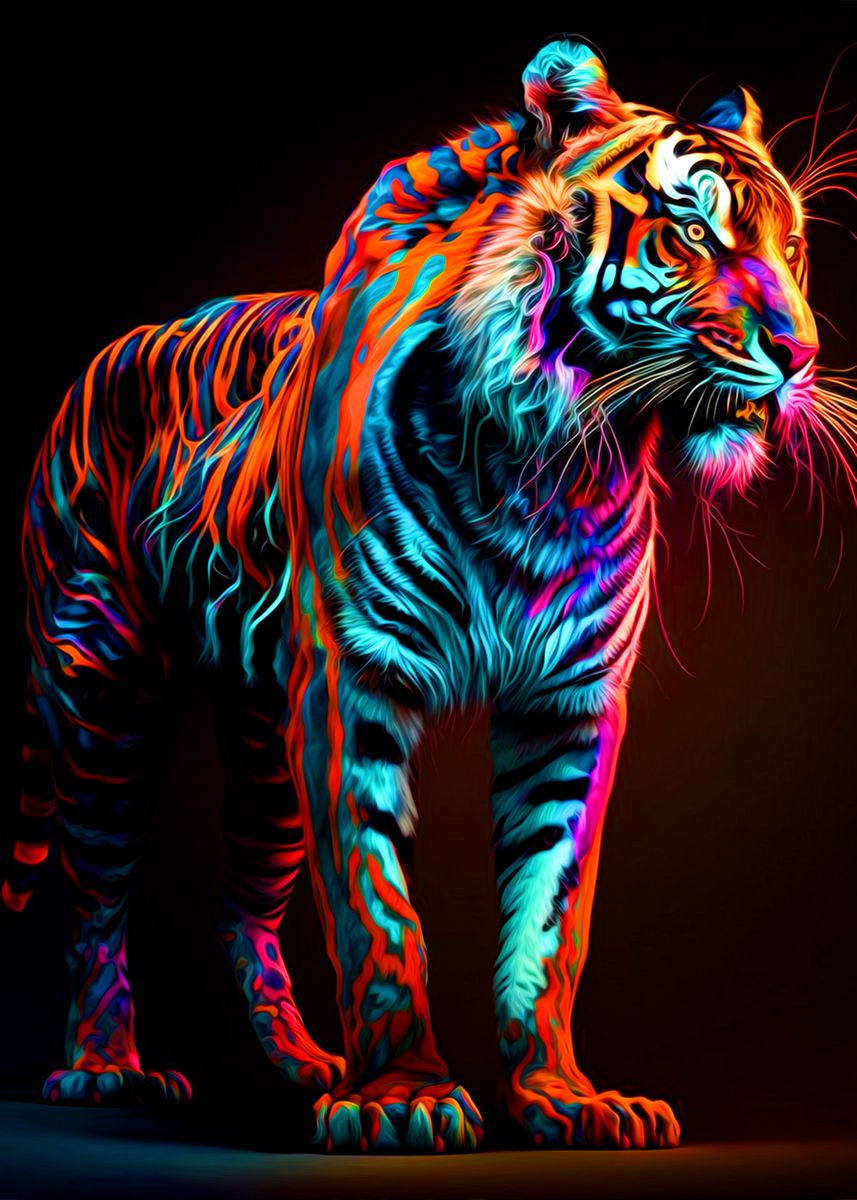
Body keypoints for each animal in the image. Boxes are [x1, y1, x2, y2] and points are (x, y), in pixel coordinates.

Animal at [3, 37, 850, 1152]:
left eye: (791, 249)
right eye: (688, 234)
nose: (799, 354)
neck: (555, 461)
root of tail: (94, 360)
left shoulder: (568, 703)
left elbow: (550, 920)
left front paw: (564, 1098)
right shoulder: (352, 679)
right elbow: (375, 906)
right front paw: (401, 1099)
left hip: (261, 739)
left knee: (242, 901)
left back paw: (303, 1064)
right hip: (106, 688)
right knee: (95, 897)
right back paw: (106, 1068)